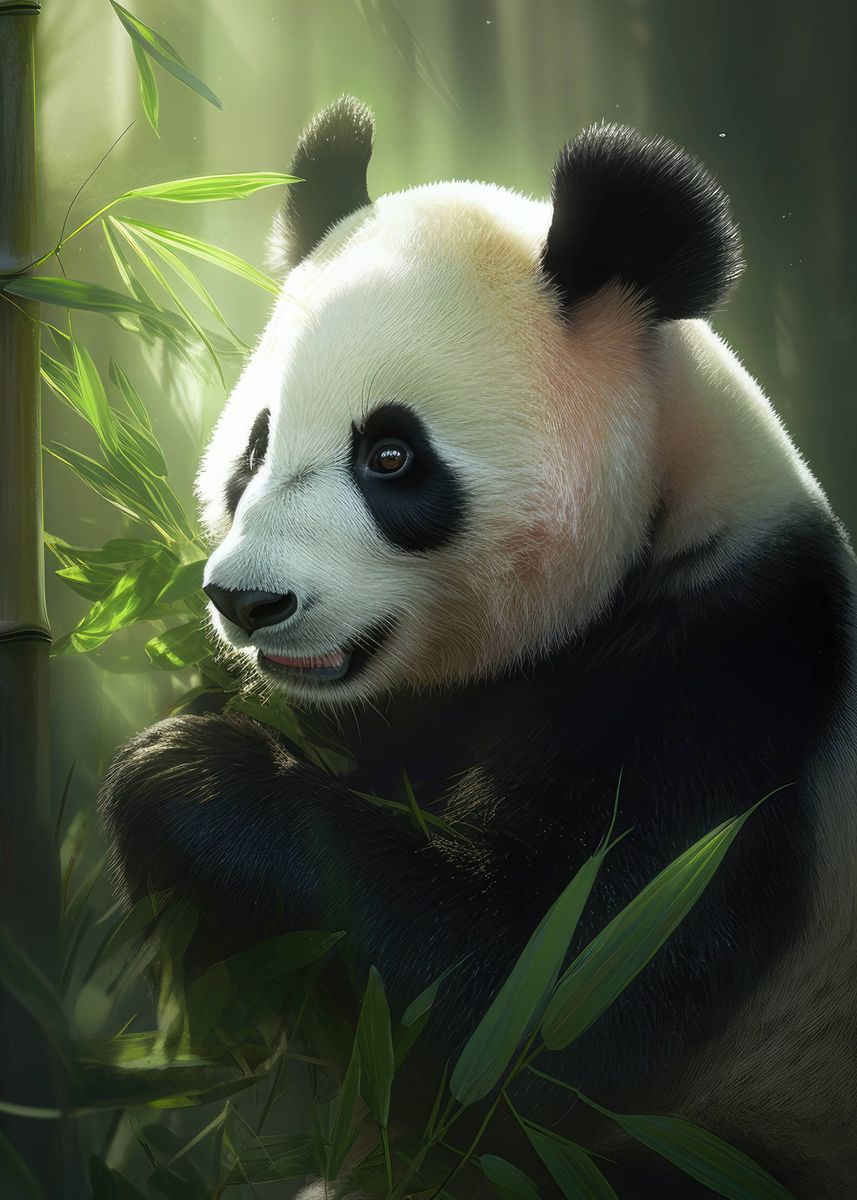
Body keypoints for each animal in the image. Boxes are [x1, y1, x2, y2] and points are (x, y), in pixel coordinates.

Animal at [99, 96, 857, 1198]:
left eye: (390, 455)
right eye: (255, 446)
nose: (247, 601)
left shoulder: (726, 683)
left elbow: (536, 993)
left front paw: (182, 773)